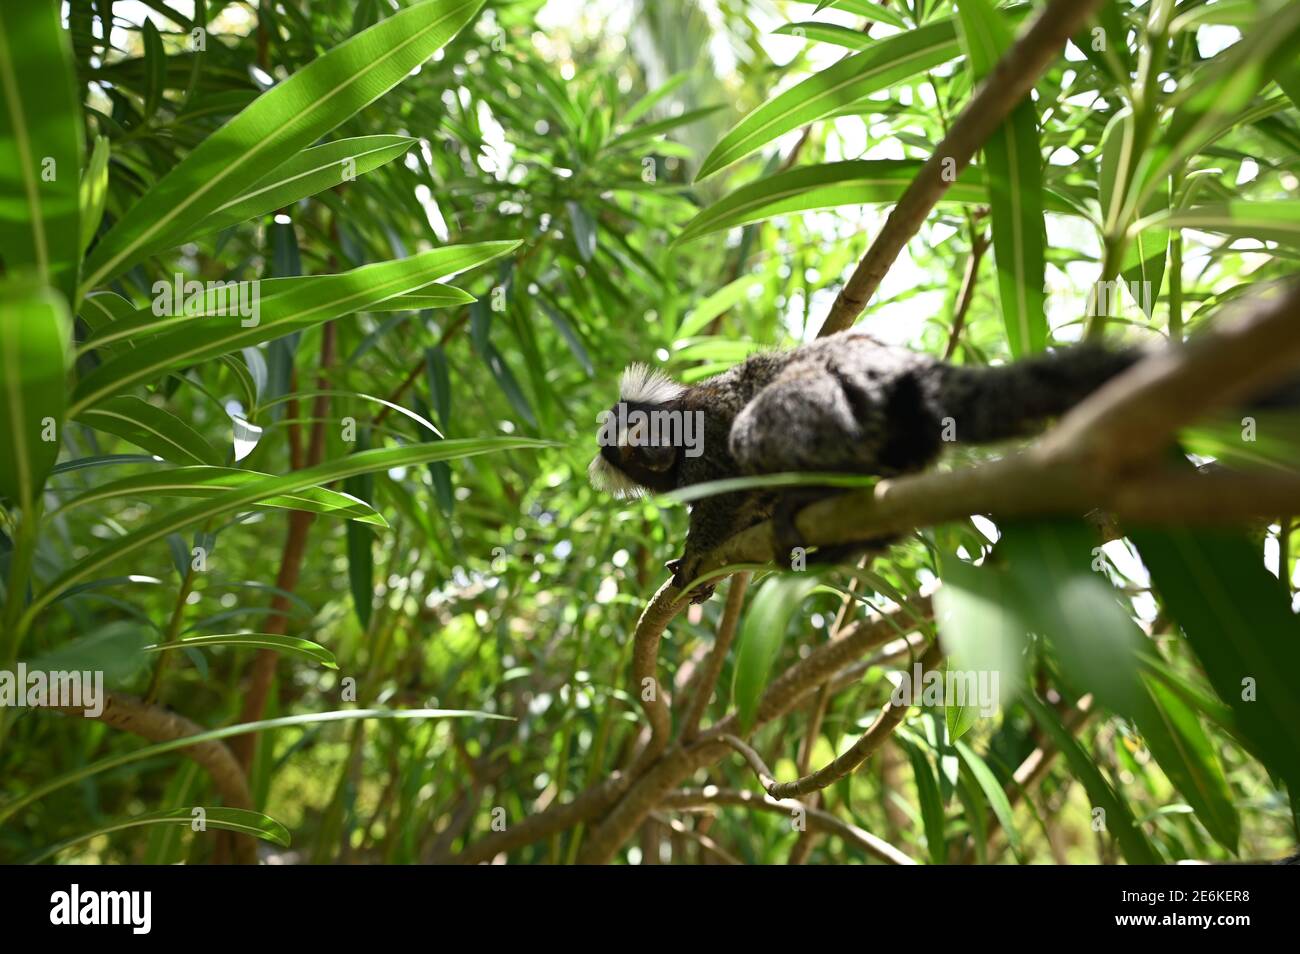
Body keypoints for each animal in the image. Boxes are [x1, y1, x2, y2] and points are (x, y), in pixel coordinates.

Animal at [587, 328, 1293, 602]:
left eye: (644, 437)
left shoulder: (703, 438)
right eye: (630, 453)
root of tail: (903, 371)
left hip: (818, 397)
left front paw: (694, 562)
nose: (651, 453)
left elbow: (719, 498)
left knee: (759, 428)